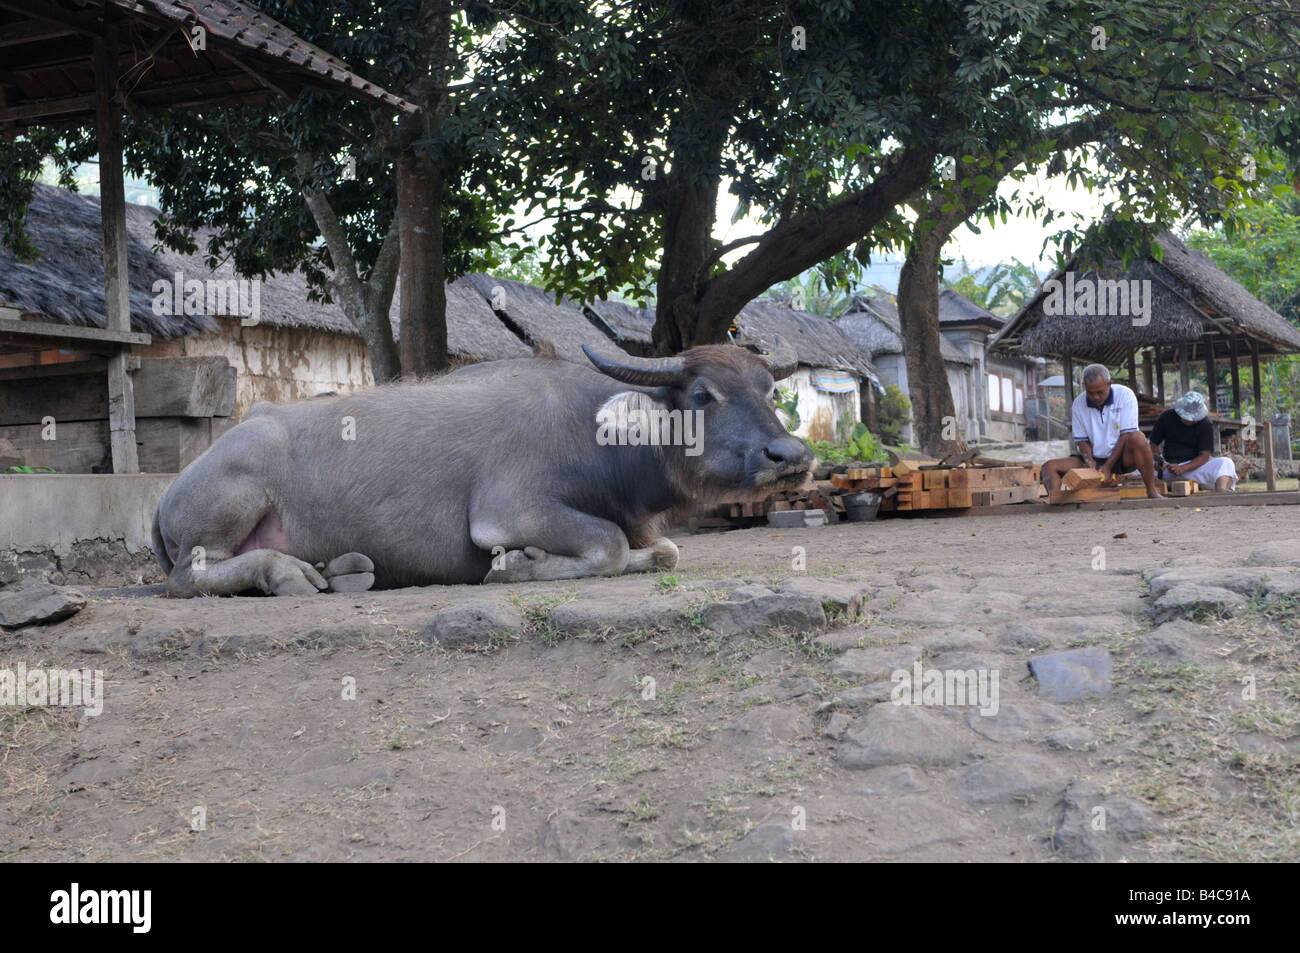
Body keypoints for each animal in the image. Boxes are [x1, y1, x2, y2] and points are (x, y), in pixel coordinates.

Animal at [151, 341, 815, 596]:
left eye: (768, 389)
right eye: (703, 394)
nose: (793, 457)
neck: (598, 435)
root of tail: (166, 494)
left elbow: (664, 551)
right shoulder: (508, 511)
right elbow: (608, 546)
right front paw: (519, 564)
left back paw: (338, 570)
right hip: (228, 505)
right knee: (189, 576)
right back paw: (287, 574)